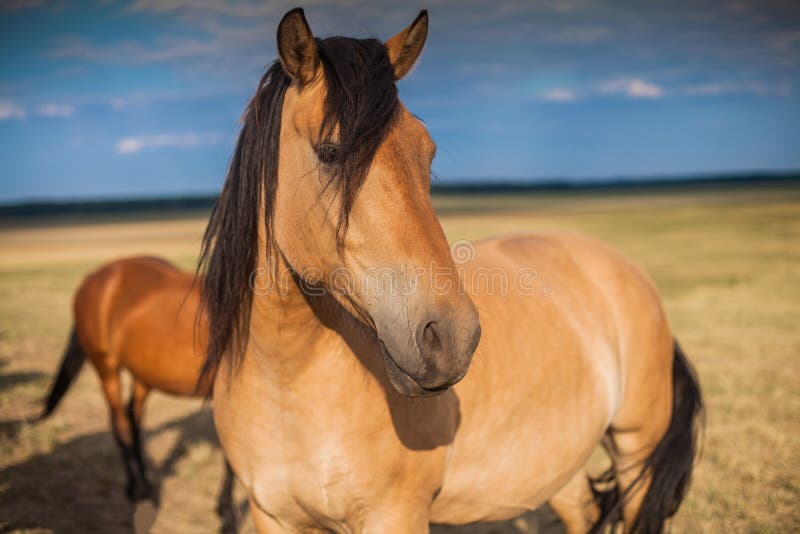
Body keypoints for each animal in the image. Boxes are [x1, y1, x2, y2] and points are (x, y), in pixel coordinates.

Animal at [39, 256, 236, 531]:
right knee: (121, 422)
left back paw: (141, 485)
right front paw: (227, 516)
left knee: (132, 417)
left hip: (143, 374)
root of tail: (96, 277)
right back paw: (140, 493)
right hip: (106, 367)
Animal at [198, 8, 703, 533]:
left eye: (428, 152)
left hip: (635, 449)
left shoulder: (395, 514)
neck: (285, 383)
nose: (452, 338)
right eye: (331, 152)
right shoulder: (273, 516)